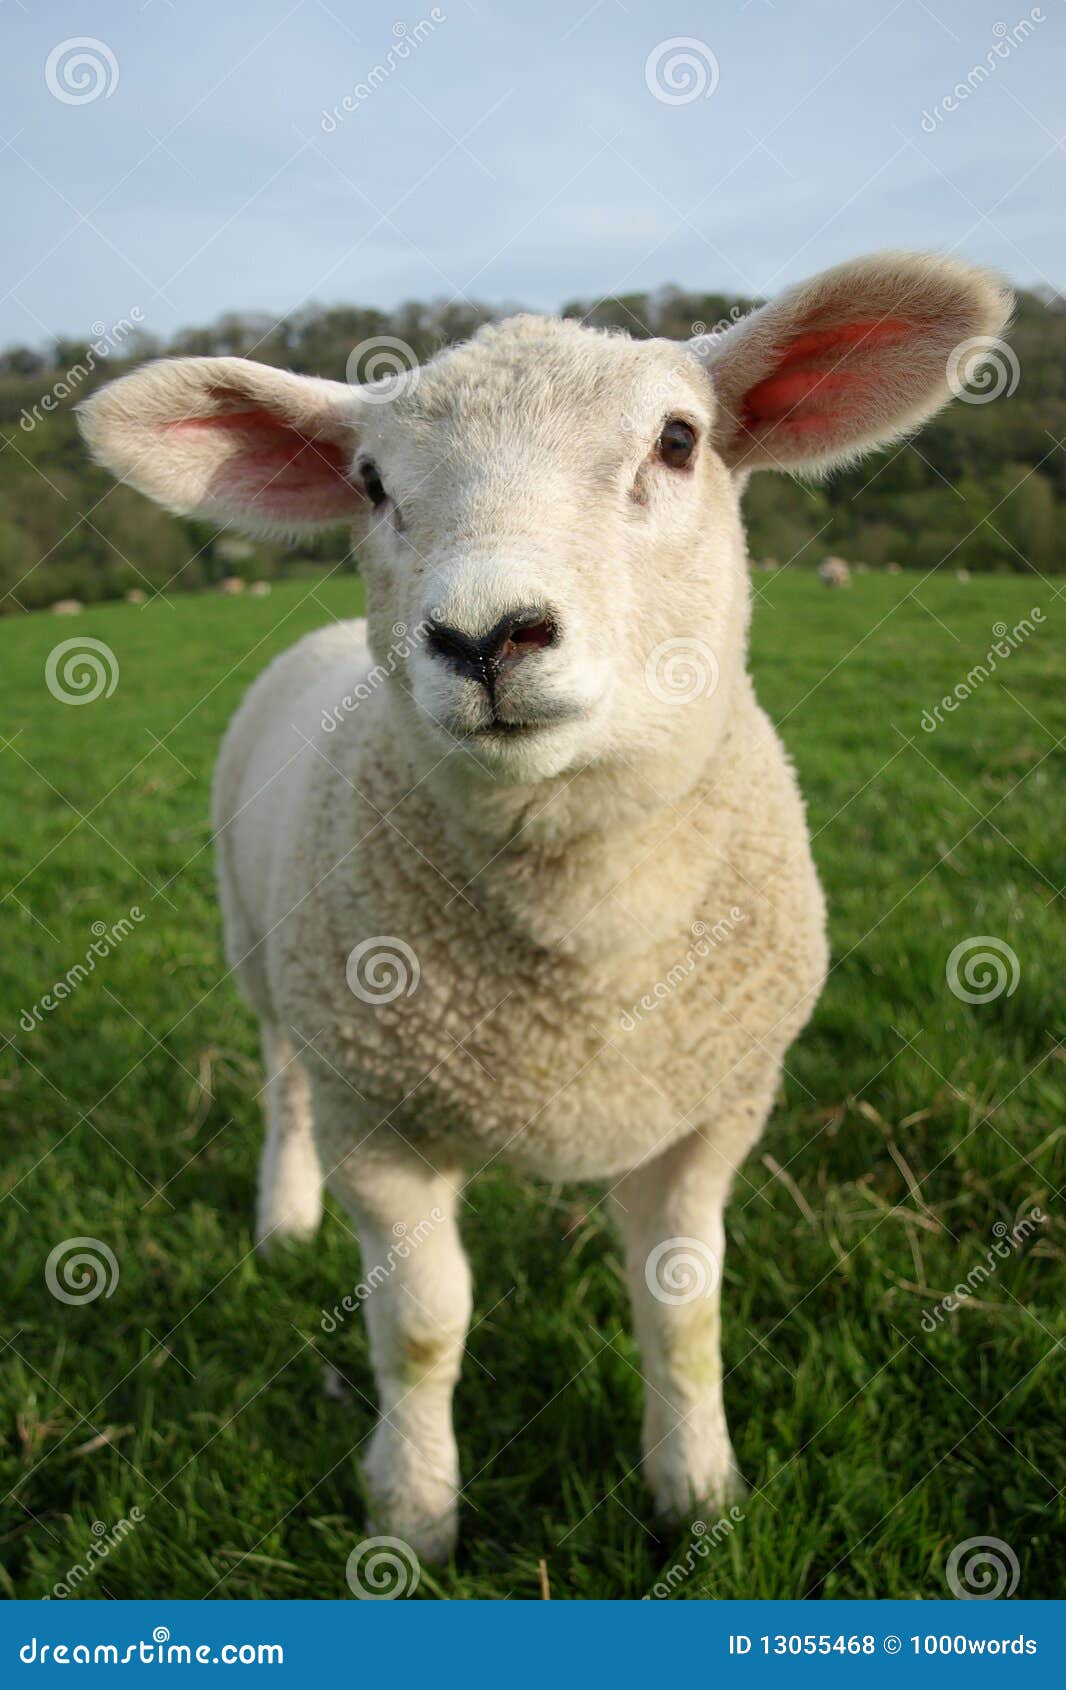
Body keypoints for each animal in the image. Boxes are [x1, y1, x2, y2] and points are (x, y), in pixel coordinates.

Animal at [79, 251, 1011, 1564]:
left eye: (677, 440)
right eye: (371, 483)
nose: (483, 635)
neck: (586, 933)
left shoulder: (711, 1113)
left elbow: (681, 1312)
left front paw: (697, 1494)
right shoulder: (381, 1123)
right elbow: (423, 1327)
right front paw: (412, 1515)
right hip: (269, 959)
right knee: (281, 1079)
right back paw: (285, 1215)